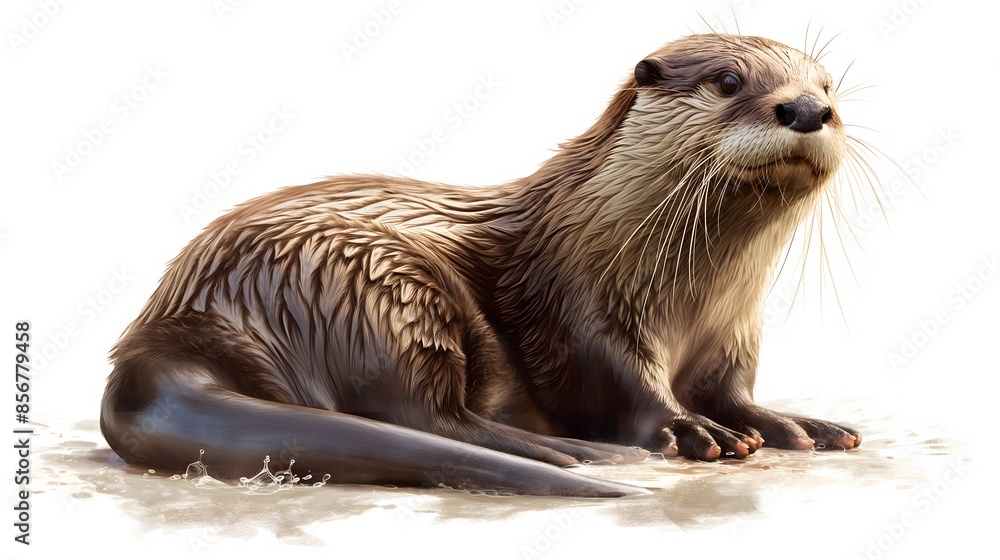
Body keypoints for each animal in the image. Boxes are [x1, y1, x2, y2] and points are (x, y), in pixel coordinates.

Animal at [100, 33, 862, 497]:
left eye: (828, 84)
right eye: (728, 80)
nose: (807, 108)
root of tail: (171, 323)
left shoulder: (735, 335)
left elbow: (734, 390)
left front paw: (796, 424)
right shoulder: (581, 308)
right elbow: (625, 384)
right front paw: (691, 431)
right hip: (376, 279)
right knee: (424, 415)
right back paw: (584, 454)